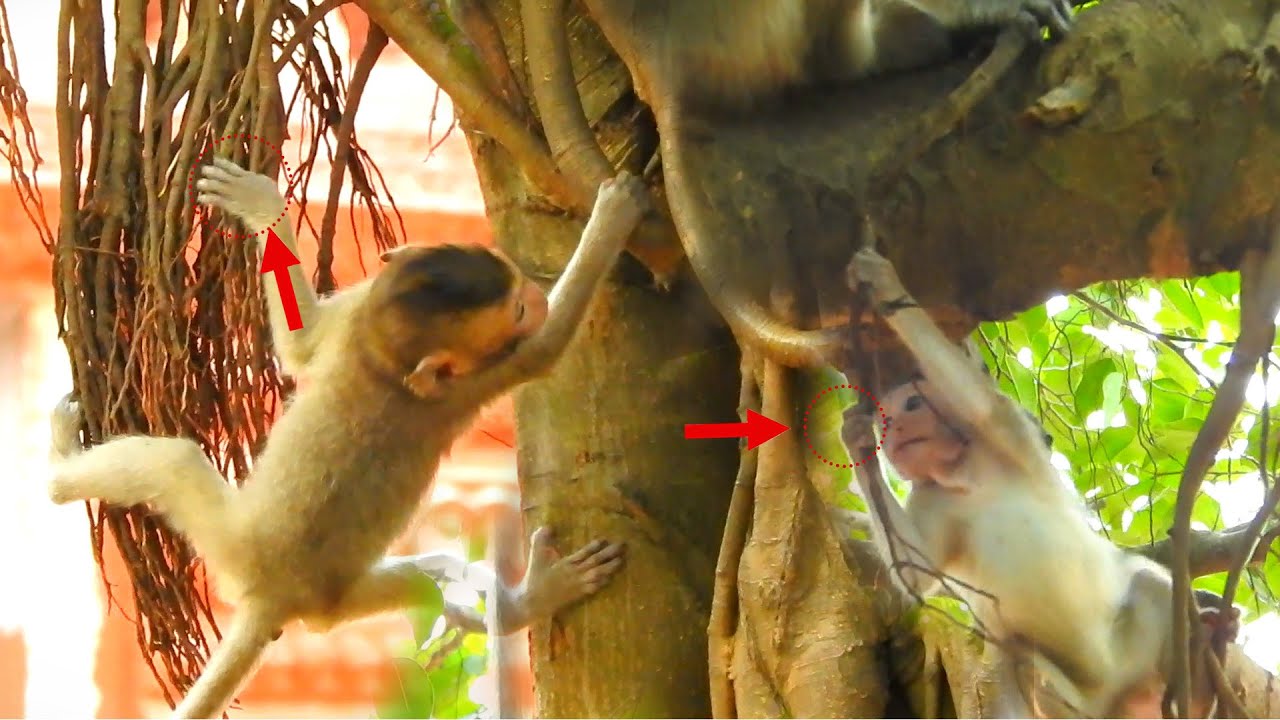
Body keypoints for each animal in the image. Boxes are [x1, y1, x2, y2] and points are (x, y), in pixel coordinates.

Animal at [46, 158, 650, 719]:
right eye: (519, 305)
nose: (536, 296)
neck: (384, 360)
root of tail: (272, 597)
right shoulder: (456, 360)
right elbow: (548, 346)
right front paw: (612, 222)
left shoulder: (384, 330)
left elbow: (304, 346)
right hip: (254, 561)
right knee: (178, 466)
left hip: (300, 586)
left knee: (424, 580)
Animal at [842, 244, 1233, 718]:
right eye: (886, 420)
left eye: (911, 407)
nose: (891, 432)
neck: (963, 473)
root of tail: (1110, 698)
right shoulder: (931, 495)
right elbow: (918, 575)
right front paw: (855, 438)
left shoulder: (1009, 432)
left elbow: (981, 406)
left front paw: (885, 284)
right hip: (1074, 694)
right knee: (1017, 653)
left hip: (1128, 655)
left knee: (1150, 583)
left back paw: (1198, 690)